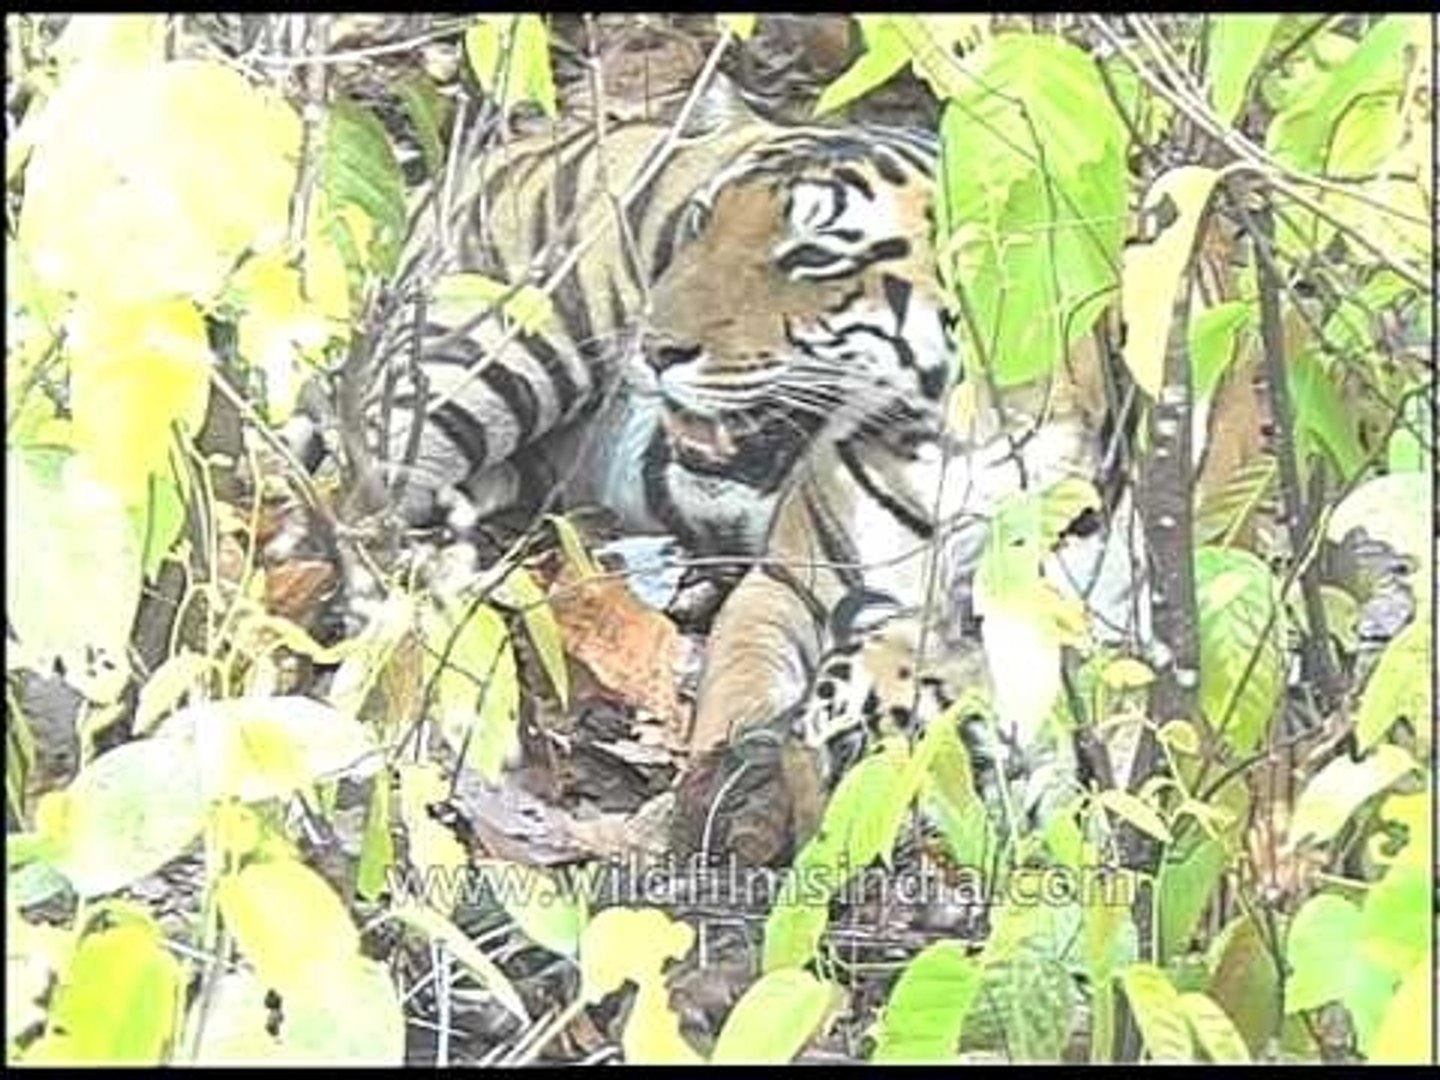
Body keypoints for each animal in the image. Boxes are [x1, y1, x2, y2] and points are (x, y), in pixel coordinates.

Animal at [289, 81, 1147, 859]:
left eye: (812, 257)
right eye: (700, 225)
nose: (655, 347)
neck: (954, 445)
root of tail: (488, 155)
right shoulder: (788, 586)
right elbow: (740, 695)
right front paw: (734, 789)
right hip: (494, 355)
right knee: (344, 508)